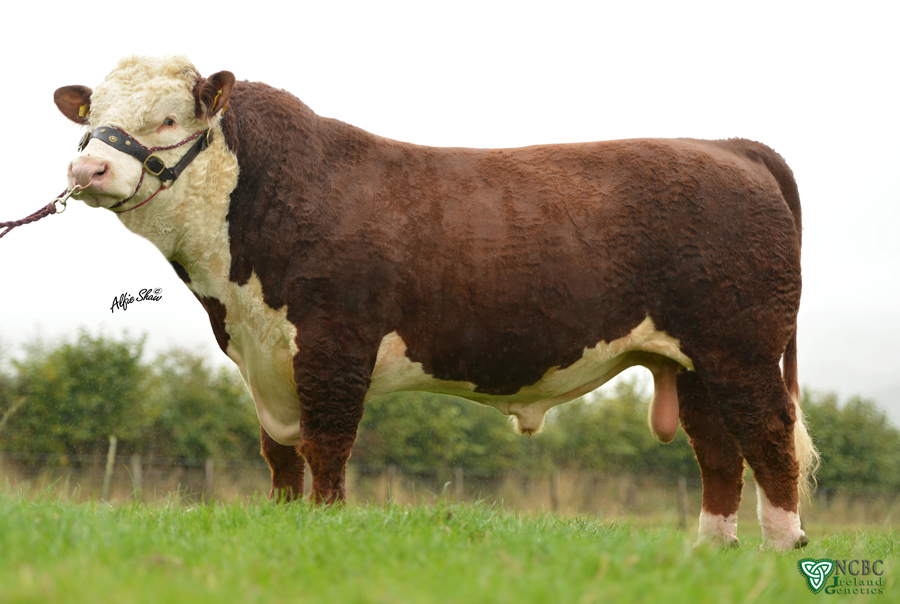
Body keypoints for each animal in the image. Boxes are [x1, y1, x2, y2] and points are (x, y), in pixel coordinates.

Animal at [54, 55, 816, 550]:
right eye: (93, 118)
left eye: (168, 117)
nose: (87, 167)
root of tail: (729, 147)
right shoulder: (261, 357)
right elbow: (279, 456)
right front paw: (286, 520)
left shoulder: (335, 344)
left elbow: (327, 446)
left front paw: (324, 528)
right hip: (694, 362)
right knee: (718, 449)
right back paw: (711, 551)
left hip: (740, 348)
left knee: (769, 436)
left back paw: (779, 548)